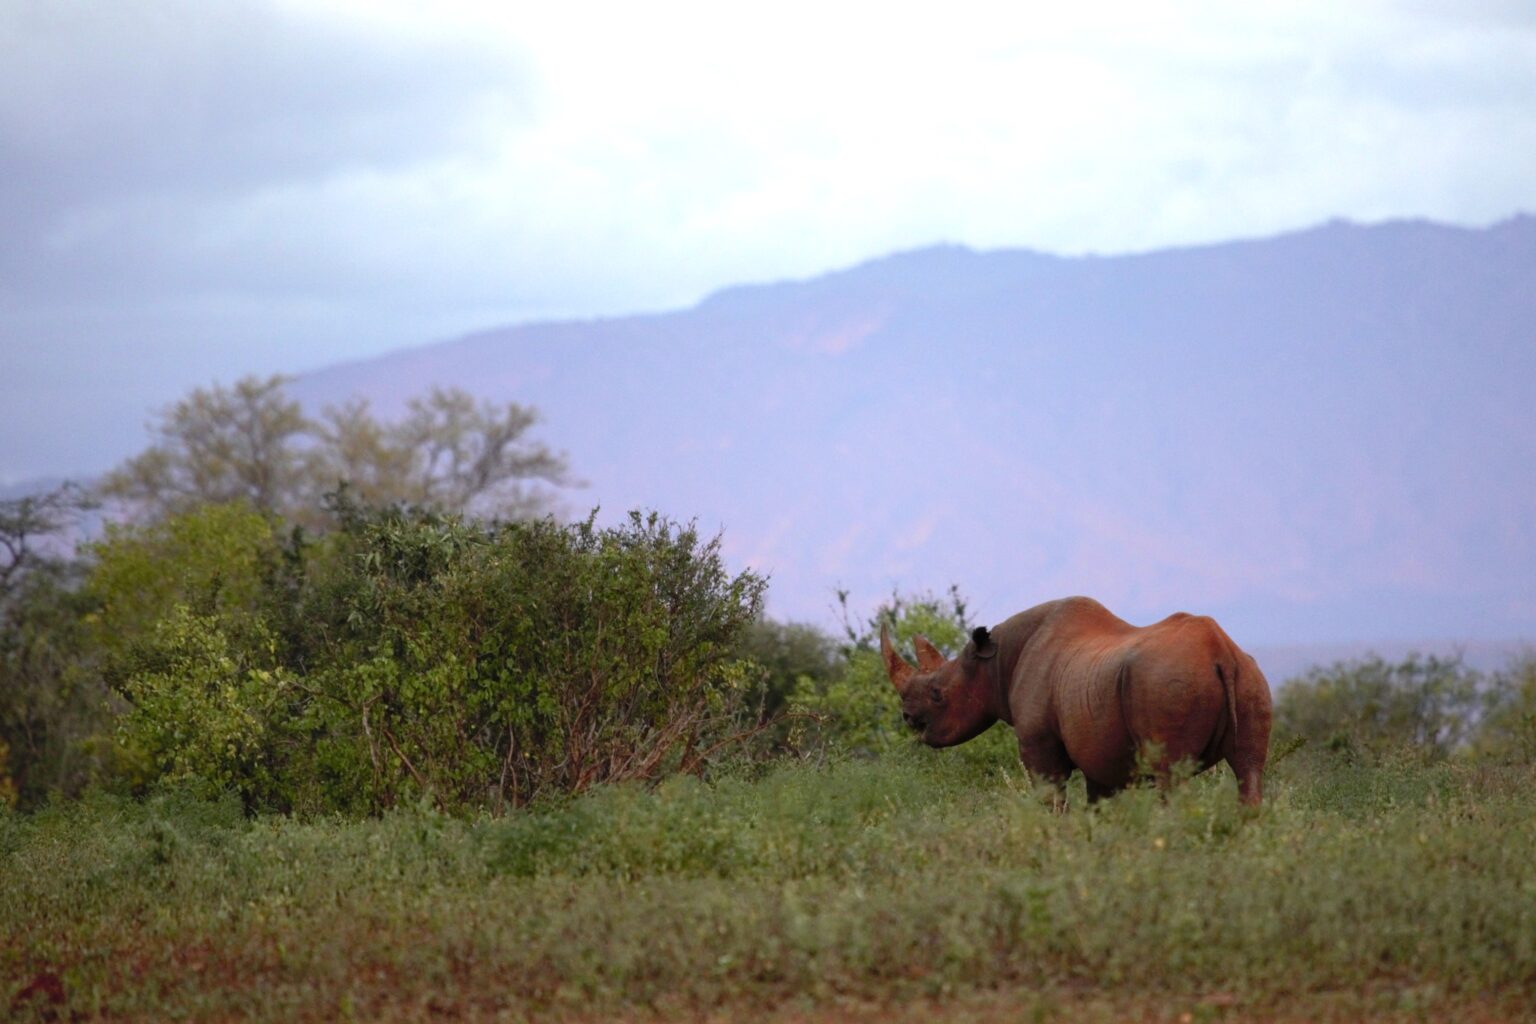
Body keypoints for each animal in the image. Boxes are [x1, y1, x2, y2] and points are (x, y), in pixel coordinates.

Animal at [882, 596, 1273, 806]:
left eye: (937, 694)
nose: (907, 717)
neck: (993, 663)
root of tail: (1221, 652)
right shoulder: (1099, 750)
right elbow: (1098, 802)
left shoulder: (1039, 744)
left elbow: (1052, 797)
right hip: (1251, 677)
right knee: (1249, 767)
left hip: (1168, 683)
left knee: (1171, 777)